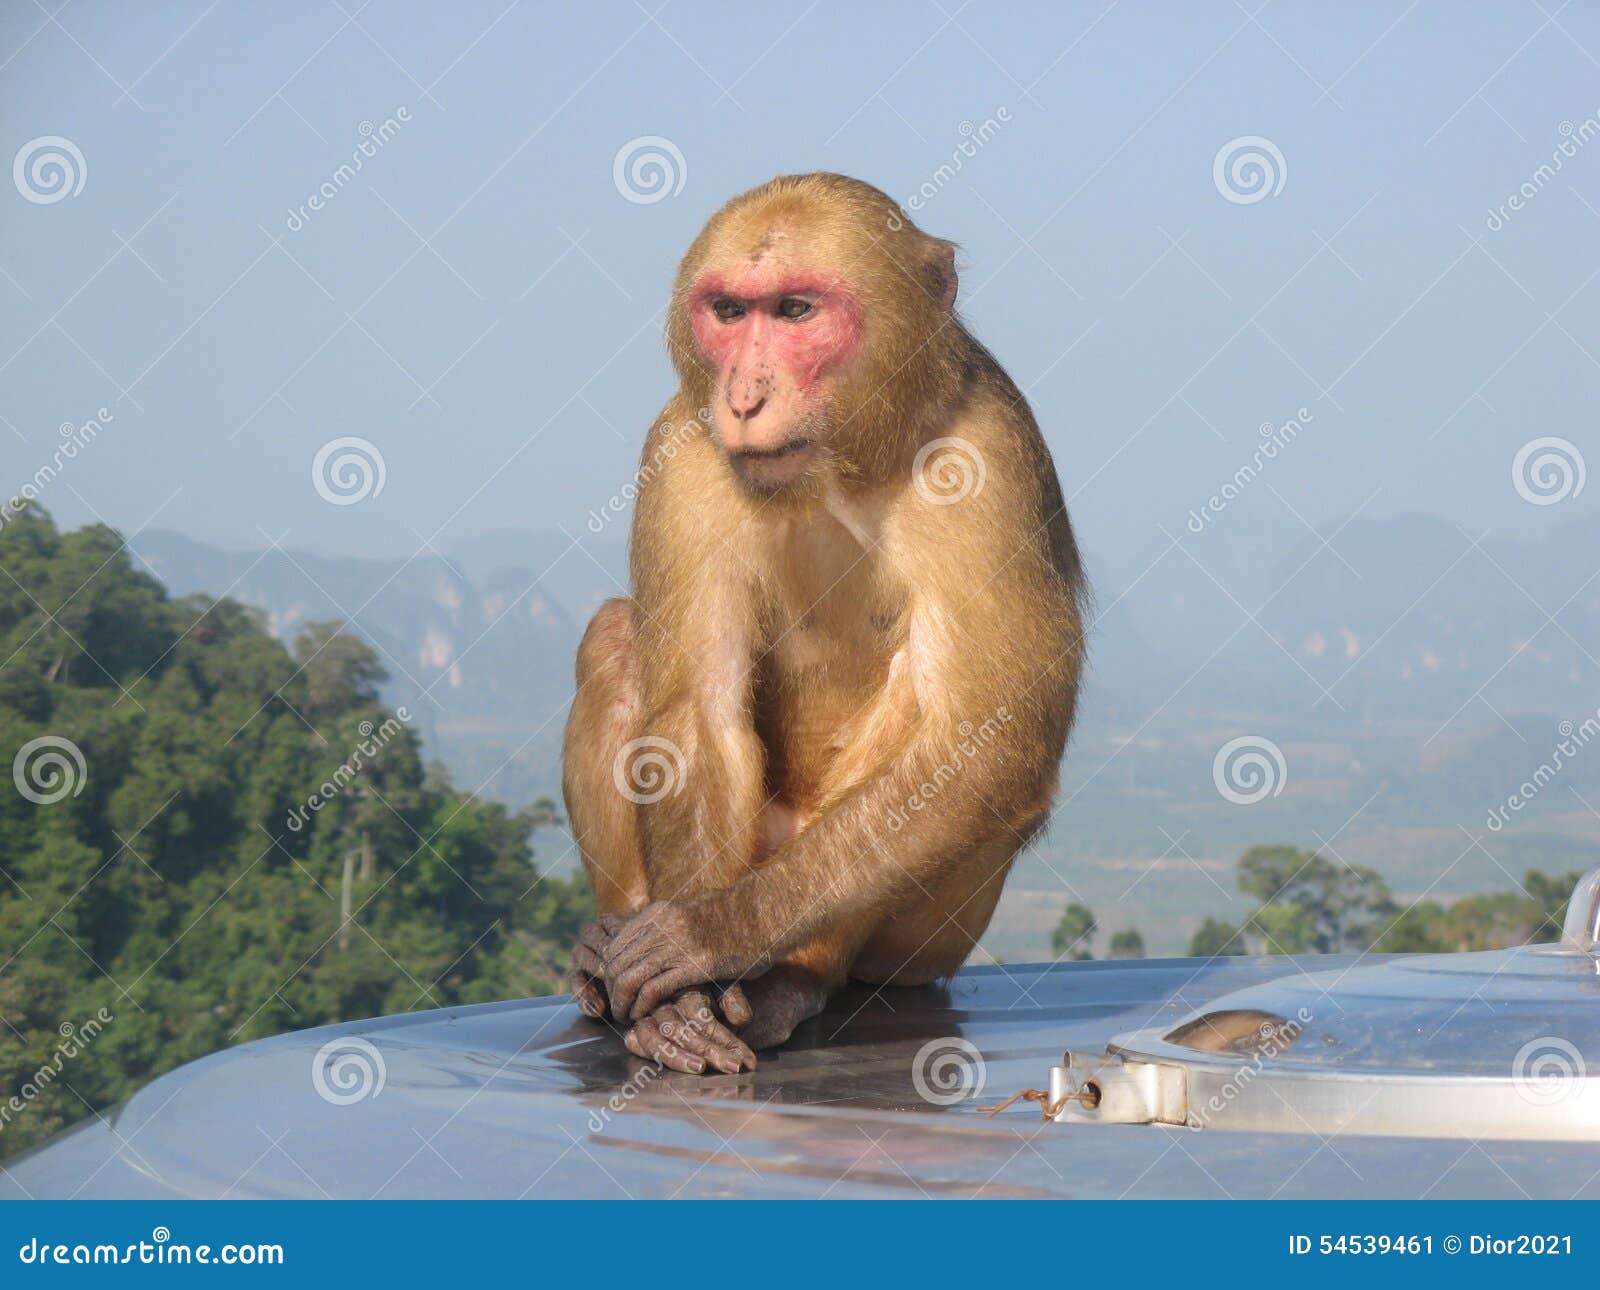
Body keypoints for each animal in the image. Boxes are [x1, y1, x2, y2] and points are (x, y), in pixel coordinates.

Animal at [561, 173, 1086, 1075]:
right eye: (729, 311)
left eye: (797, 310)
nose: (743, 396)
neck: (844, 457)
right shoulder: (682, 449)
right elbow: (697, 717)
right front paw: (676, 1007)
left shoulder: (990, 455)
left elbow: (992, 739)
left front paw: (711, 934)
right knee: (617, 639)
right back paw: (608, 953)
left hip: (928, 943)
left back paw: (791, 980)